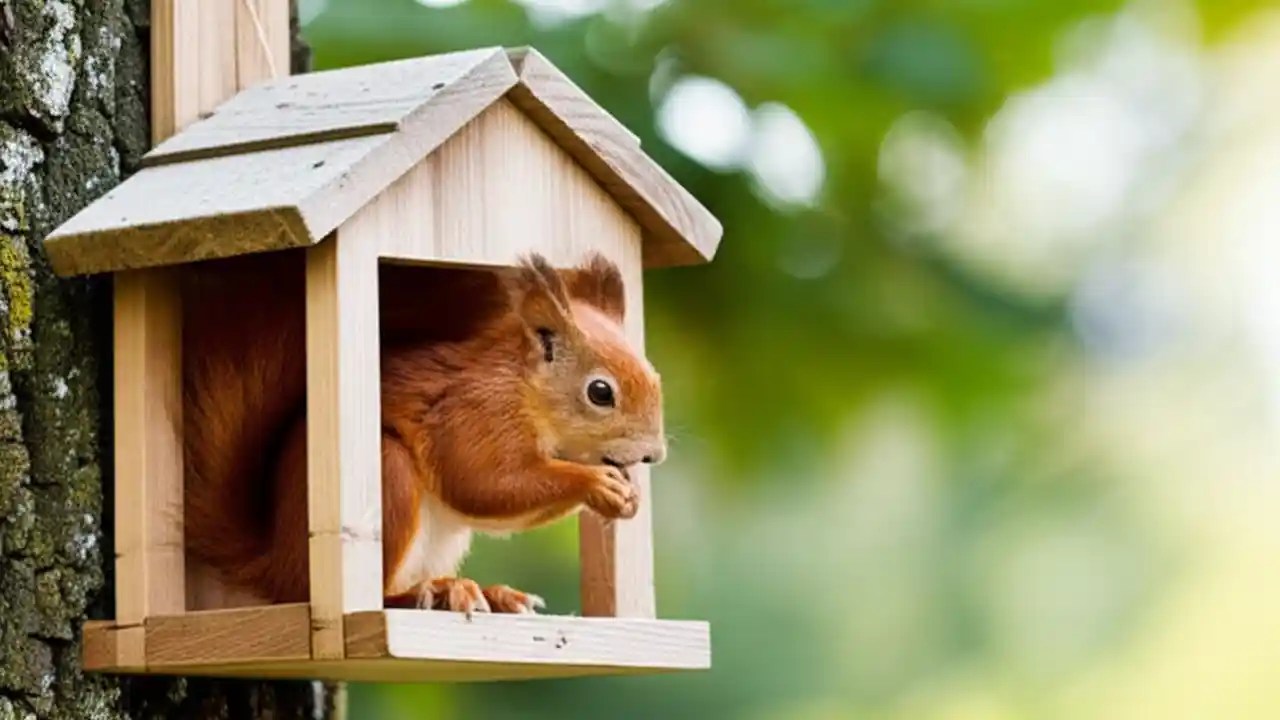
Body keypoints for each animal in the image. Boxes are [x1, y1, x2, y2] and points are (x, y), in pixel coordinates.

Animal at [182, 251, 666, 614]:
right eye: (600, 392)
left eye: (655, 377)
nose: (654, 456)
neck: (525, 391)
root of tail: (278, 570)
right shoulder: (476, 415)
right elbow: (481, 483)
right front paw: (597, 485)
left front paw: (629, 497)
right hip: (388, 475)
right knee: (382, 591)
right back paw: (426, 593)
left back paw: (488, 593)